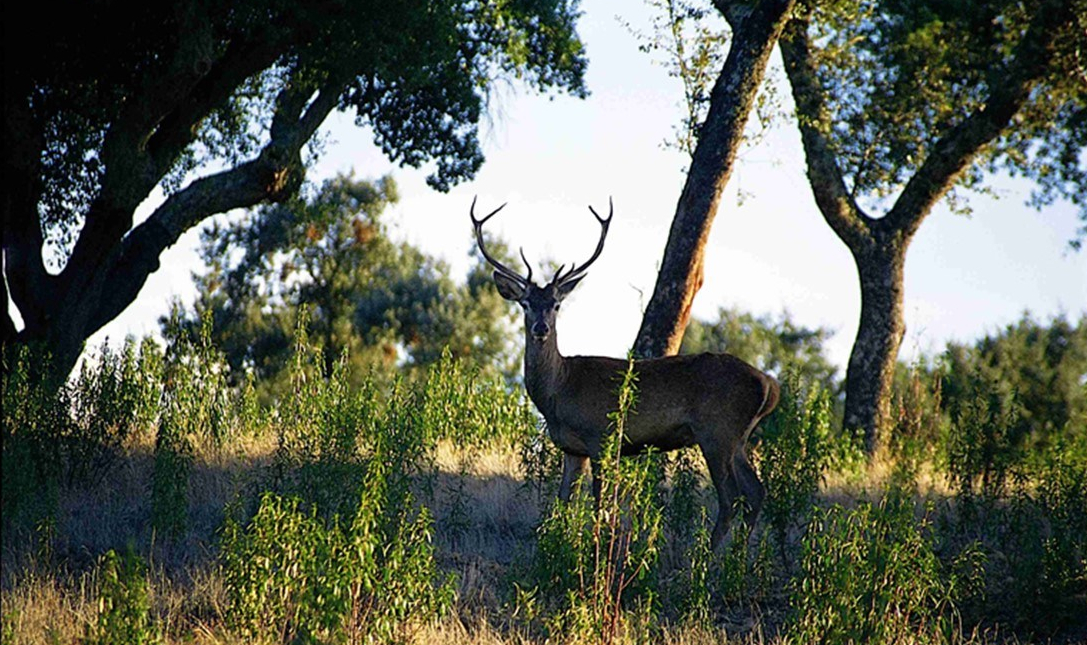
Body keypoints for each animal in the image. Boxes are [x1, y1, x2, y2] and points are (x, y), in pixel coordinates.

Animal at [471, 198, 780, 549]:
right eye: (525, 303)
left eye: (556, 305)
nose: (541, 328)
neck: (559, 391)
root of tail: (769, 385)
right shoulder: (572, 449)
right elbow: (562, 503)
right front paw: (554, 545)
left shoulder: (601, 436)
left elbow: (600, 504)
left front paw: (594, 547)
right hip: (738, 437)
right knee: (755, 492)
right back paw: (737, 555)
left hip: (718, 432)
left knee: (730, 498)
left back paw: (707, 558)